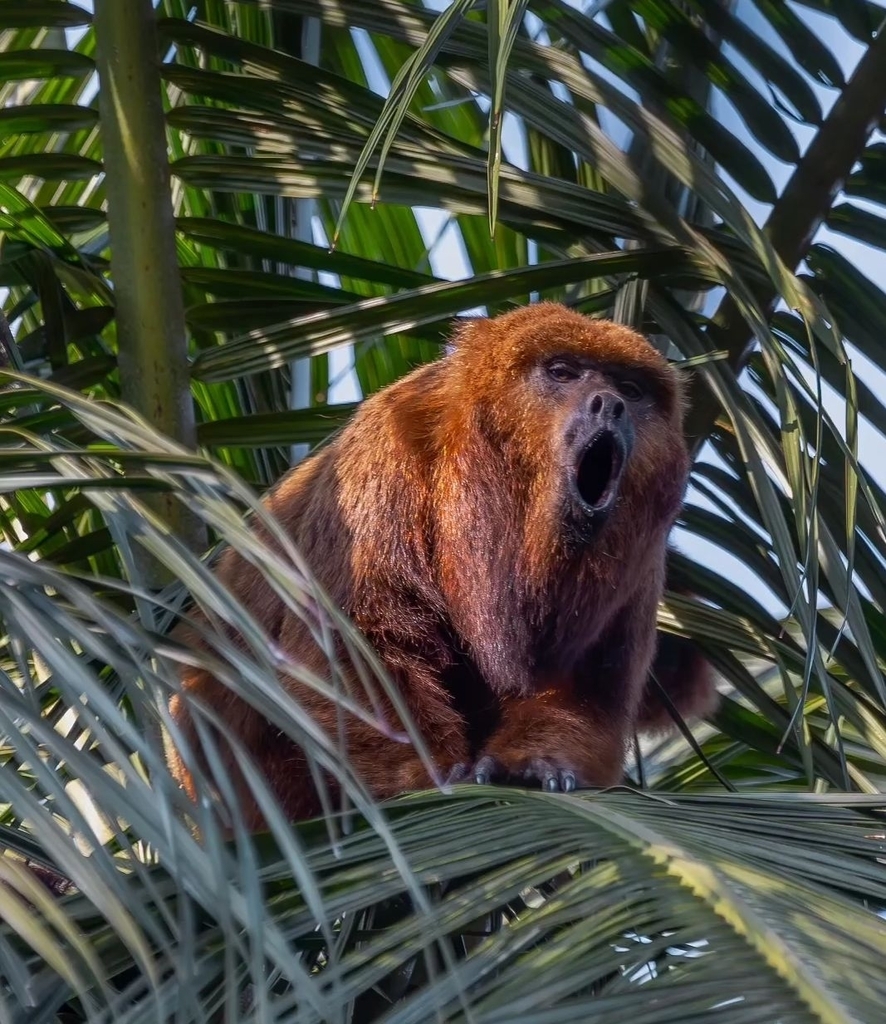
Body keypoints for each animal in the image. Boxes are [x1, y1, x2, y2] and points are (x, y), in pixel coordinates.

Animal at [167, 302, 717, 827]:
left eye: (631, 390)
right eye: (562, 372)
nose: (611, 404)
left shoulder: (644, 563)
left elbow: (587, 689)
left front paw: (534, 767)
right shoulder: (385, 451)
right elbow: (353, 645)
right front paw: (424, 777)